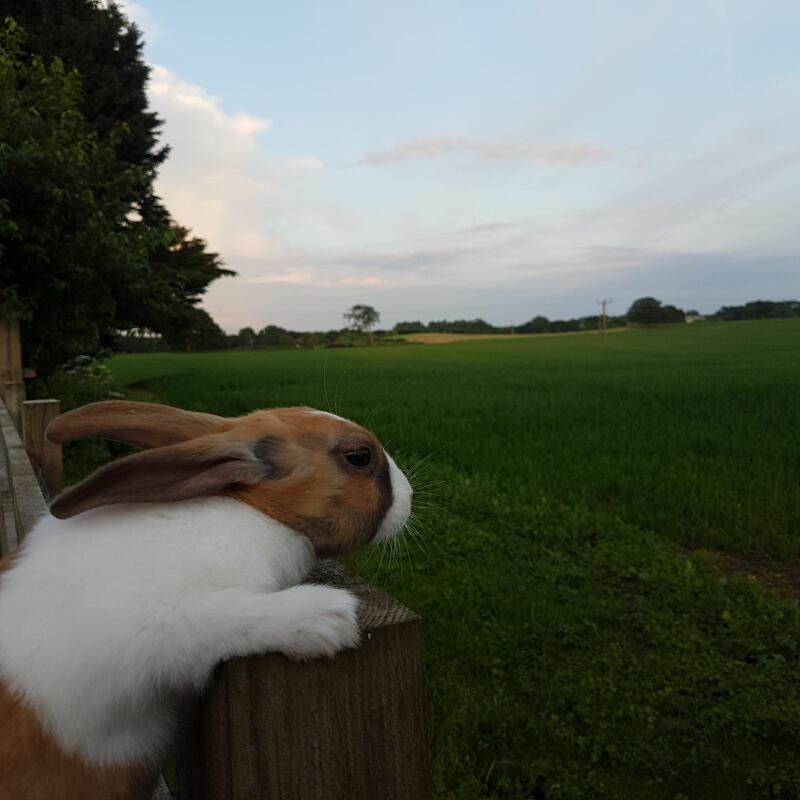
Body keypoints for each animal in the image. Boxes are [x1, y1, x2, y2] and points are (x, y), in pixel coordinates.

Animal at [0, 401, 412, 800]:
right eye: (359, 456)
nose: (409, 493)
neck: (253, 512)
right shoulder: (158, 624)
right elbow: (225, 620)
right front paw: (326, 618)